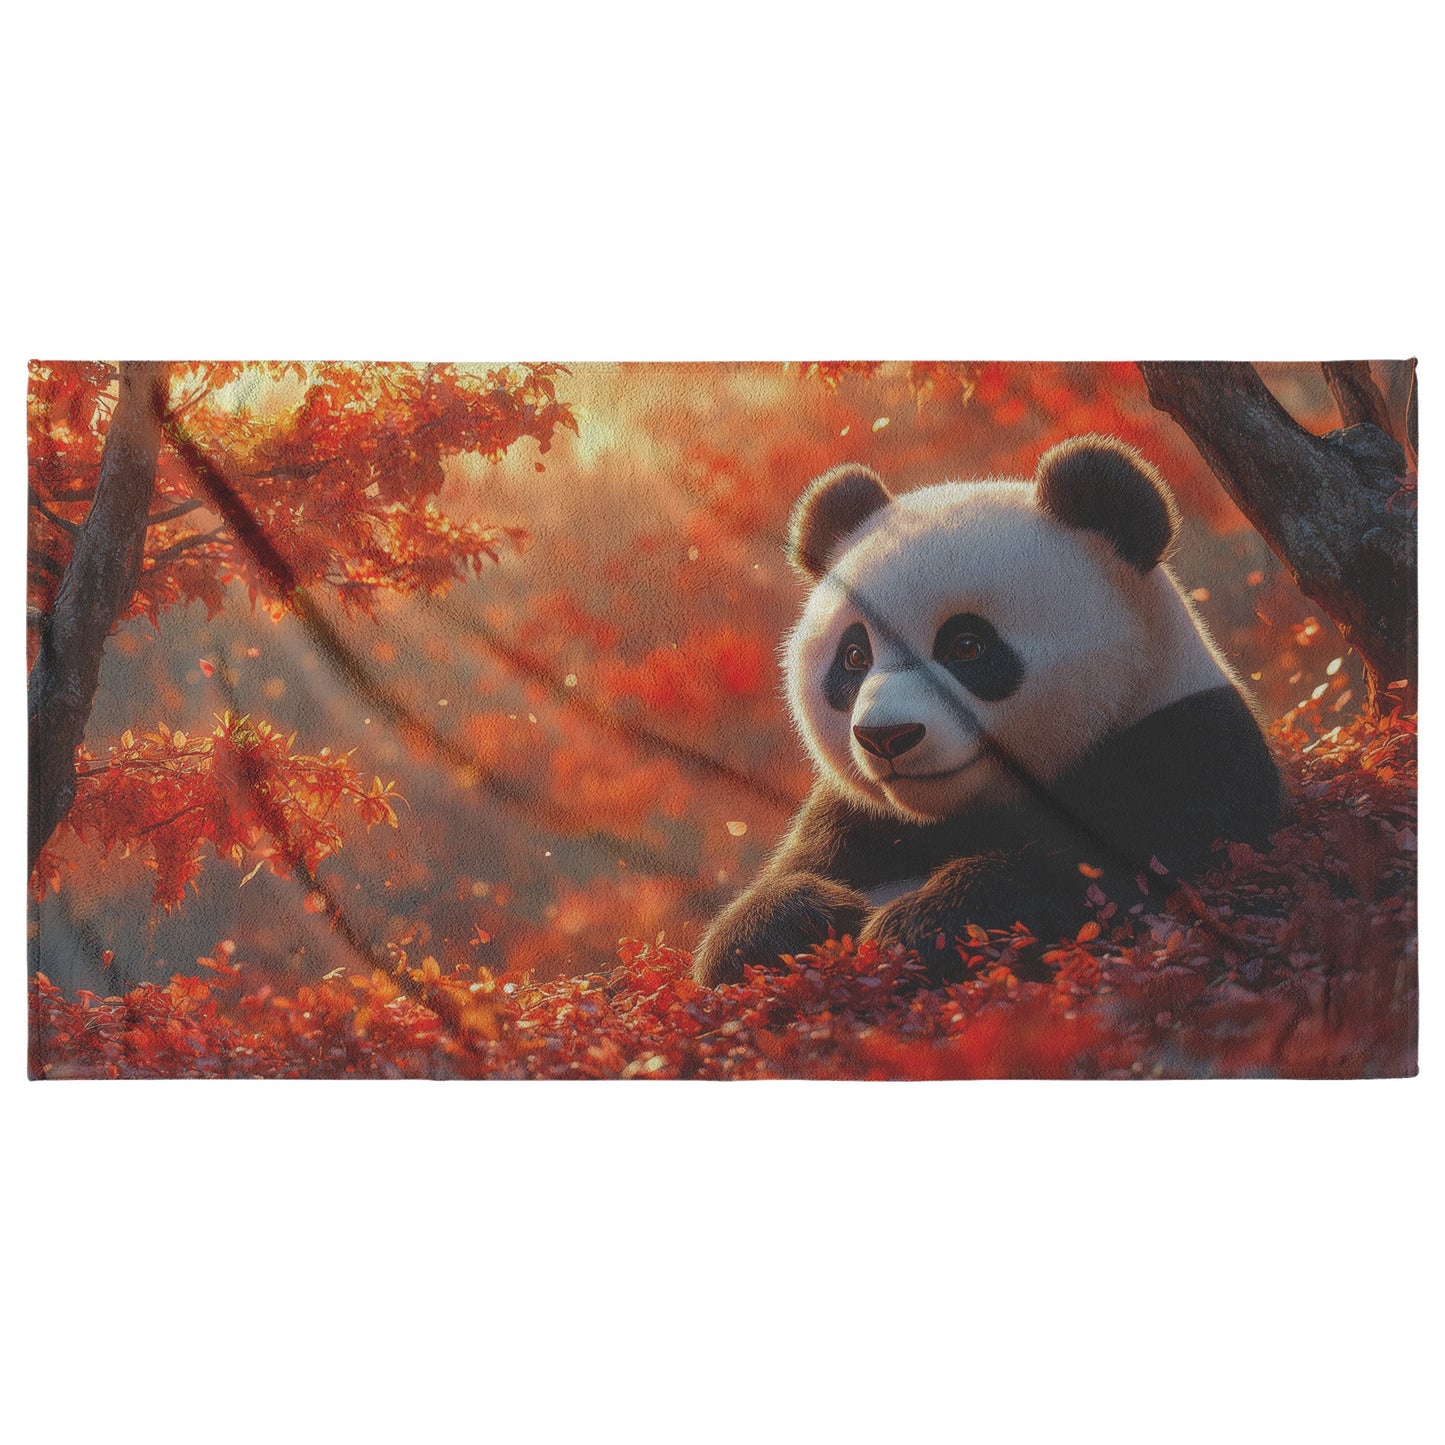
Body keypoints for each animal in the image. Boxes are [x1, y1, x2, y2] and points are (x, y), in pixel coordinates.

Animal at [691, 434, 1283, 988]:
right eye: (855, 656)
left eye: (967, 647)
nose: (886, 736)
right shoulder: (855, 818)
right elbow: (770, 896)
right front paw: (798, 922)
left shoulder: (1183, 748)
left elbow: (1103, 880)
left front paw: (916, 926)